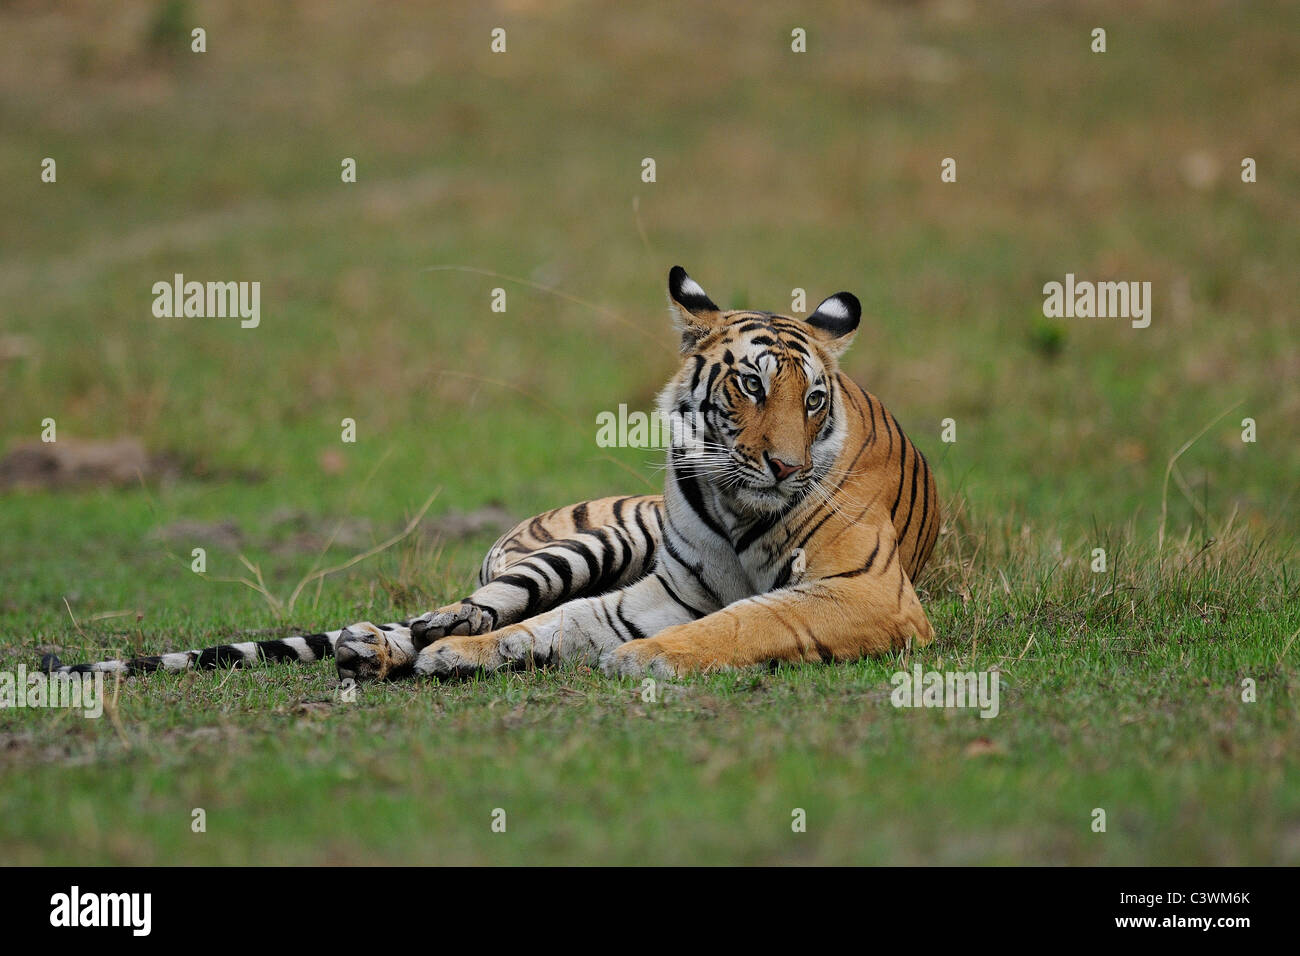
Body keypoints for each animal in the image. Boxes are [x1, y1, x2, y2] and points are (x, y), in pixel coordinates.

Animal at [44, 266, 939, 683]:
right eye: (752, 386)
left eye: (813, 400)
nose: (786, 465)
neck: (733, 506)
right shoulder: (656, 593)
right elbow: (556, 624)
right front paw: (466, 654)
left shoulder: (866, 593)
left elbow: (749, 619)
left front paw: (647, 660)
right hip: (580, 546)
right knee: (471, 604)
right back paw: (388, 644)